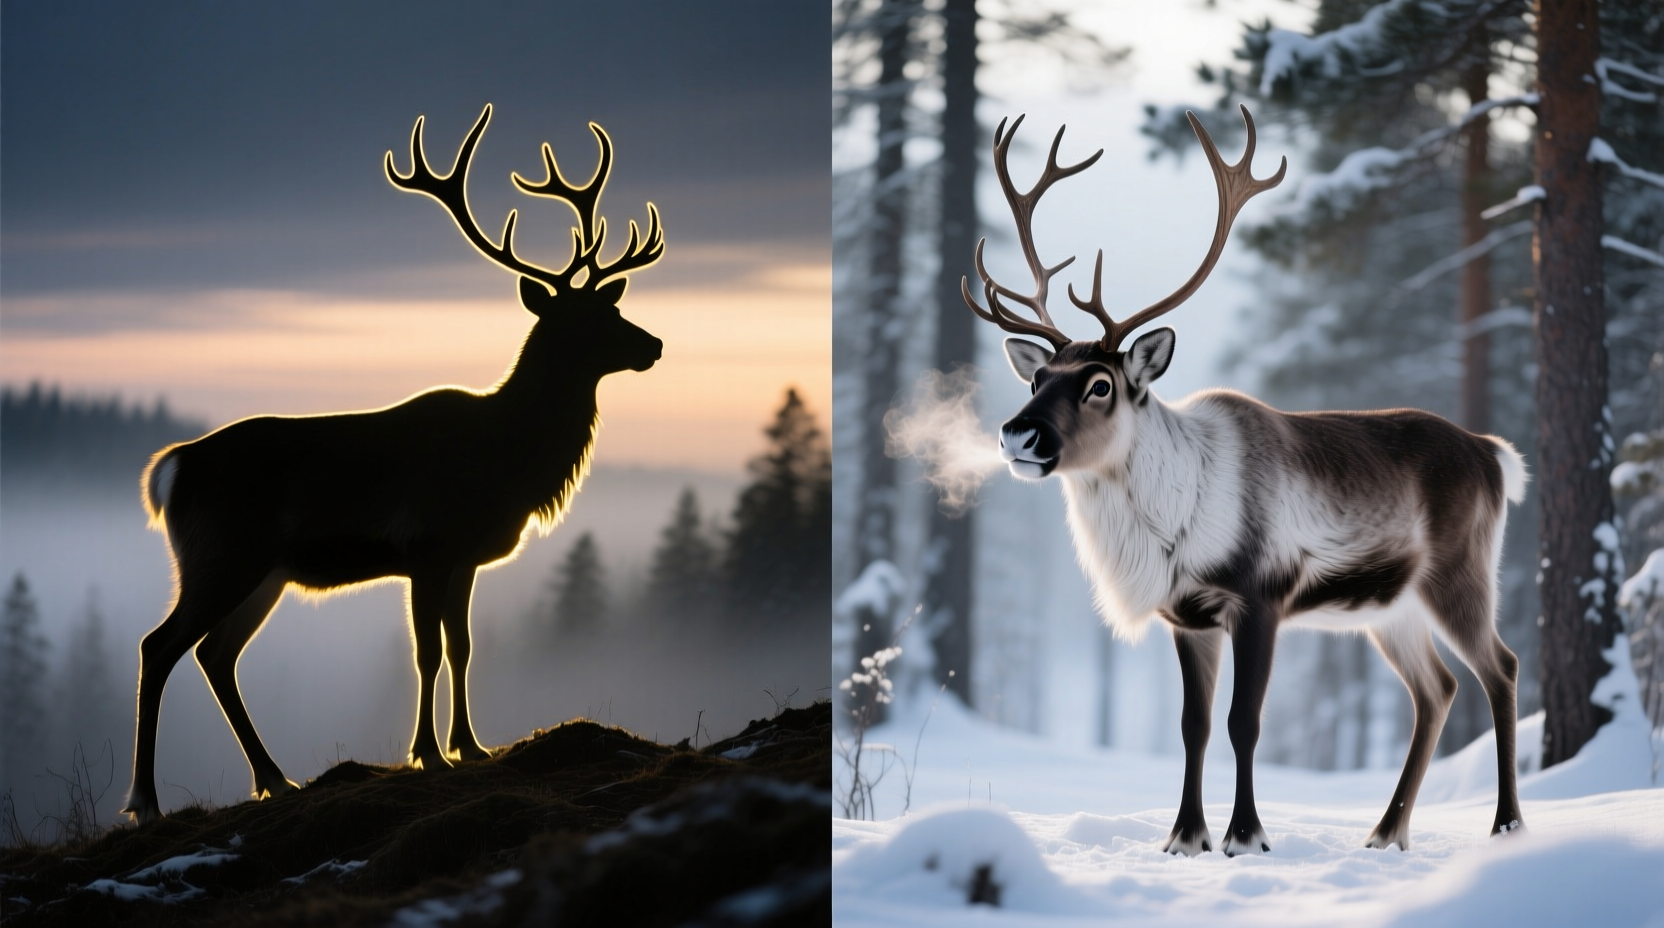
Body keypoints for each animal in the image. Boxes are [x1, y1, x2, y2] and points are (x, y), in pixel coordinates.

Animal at [122, 104, 665, 824]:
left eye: (615, 305)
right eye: (579, 317)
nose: (654, 344)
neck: (509, 459)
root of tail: (171, 470)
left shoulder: (464, 557)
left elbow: (462, 647)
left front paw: (471, 745)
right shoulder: (427, 547)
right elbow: (426, 652)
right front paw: (428, 753)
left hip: (262, 573)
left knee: (215, 654)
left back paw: (275, 778)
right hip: (221, 554)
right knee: (159, 646)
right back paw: (146, 801)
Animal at [963, 105, 1526, 856]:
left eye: (1100, 384)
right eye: (1038, 377)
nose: (1017, 435)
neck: (1172, 521)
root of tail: (1494, 454)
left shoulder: (1260, 597)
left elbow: (1243, 721)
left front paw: (1246, 836)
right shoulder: (1187, 616)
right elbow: (1193, 726)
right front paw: (1183, 838)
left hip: (1461, 573)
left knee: (1501, 669)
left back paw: (1507, 824)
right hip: (1392, 606)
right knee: (1436, 689)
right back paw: (1384, 833)